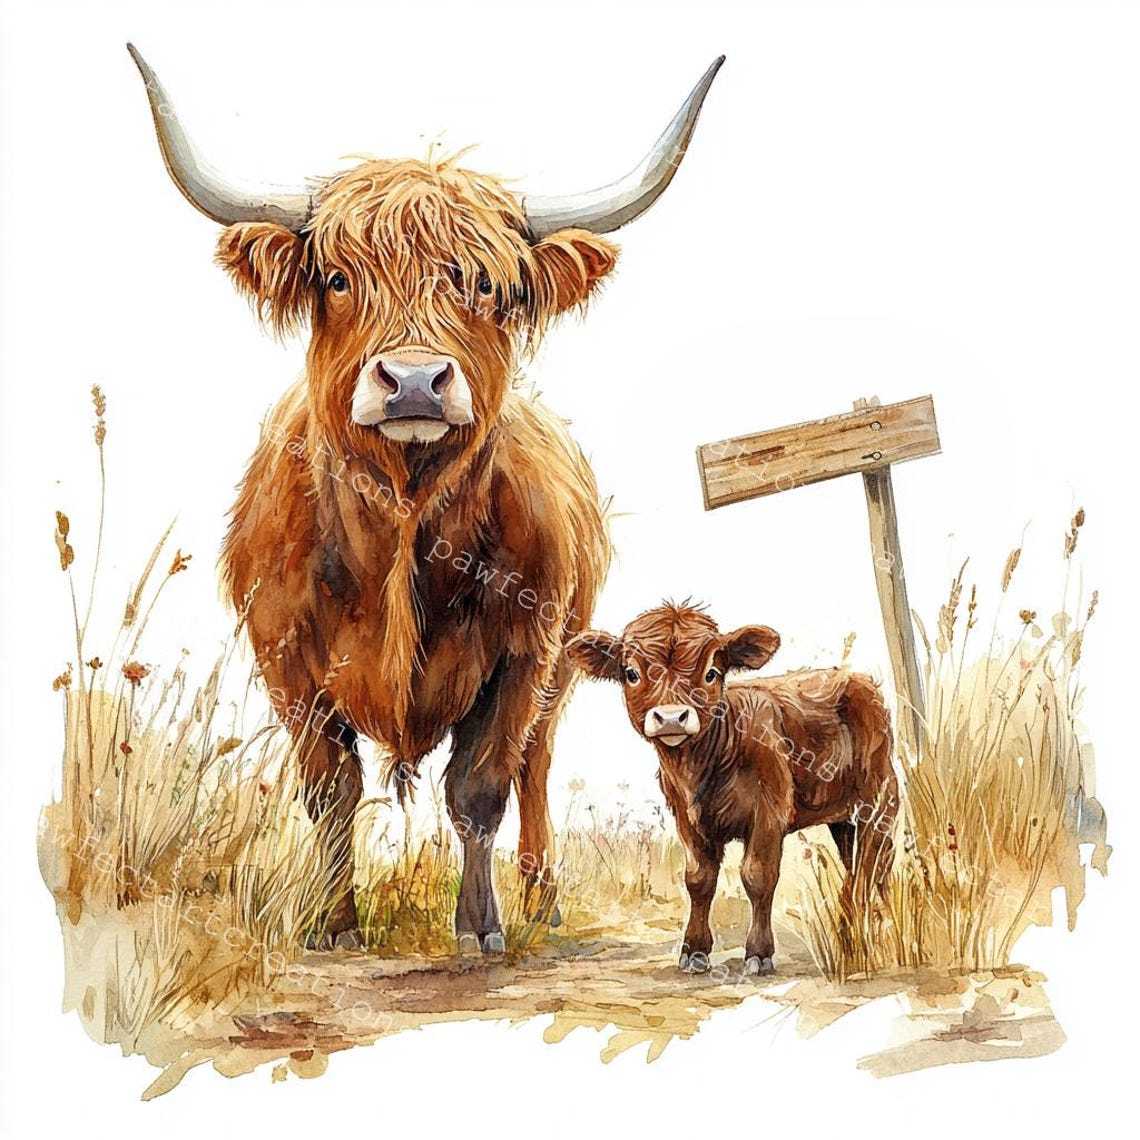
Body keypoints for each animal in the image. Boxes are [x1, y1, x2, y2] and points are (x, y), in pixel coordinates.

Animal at [128, 46, 725, 953]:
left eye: (483, 284)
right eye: (338, 278)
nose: (413, 380)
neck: (404, 529)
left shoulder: (524, 652)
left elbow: (481, 788)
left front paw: (479, 928)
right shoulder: (285, 659)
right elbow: (331, 791)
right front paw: (332, 924)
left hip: (566, 662)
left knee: (536, 767)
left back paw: (542, 897)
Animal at [566, 602, 896, 975]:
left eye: (712, 673)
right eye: (631, 673)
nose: (671, 718)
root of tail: (855, 678)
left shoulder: (768, 814)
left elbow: (757, 876)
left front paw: (759, 954)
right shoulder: (687, 820)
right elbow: (698, 879)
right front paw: (694, 951)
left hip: (879, 802)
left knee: (874, 864)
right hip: (842, 819)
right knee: (862, 867)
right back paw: (860, 930)